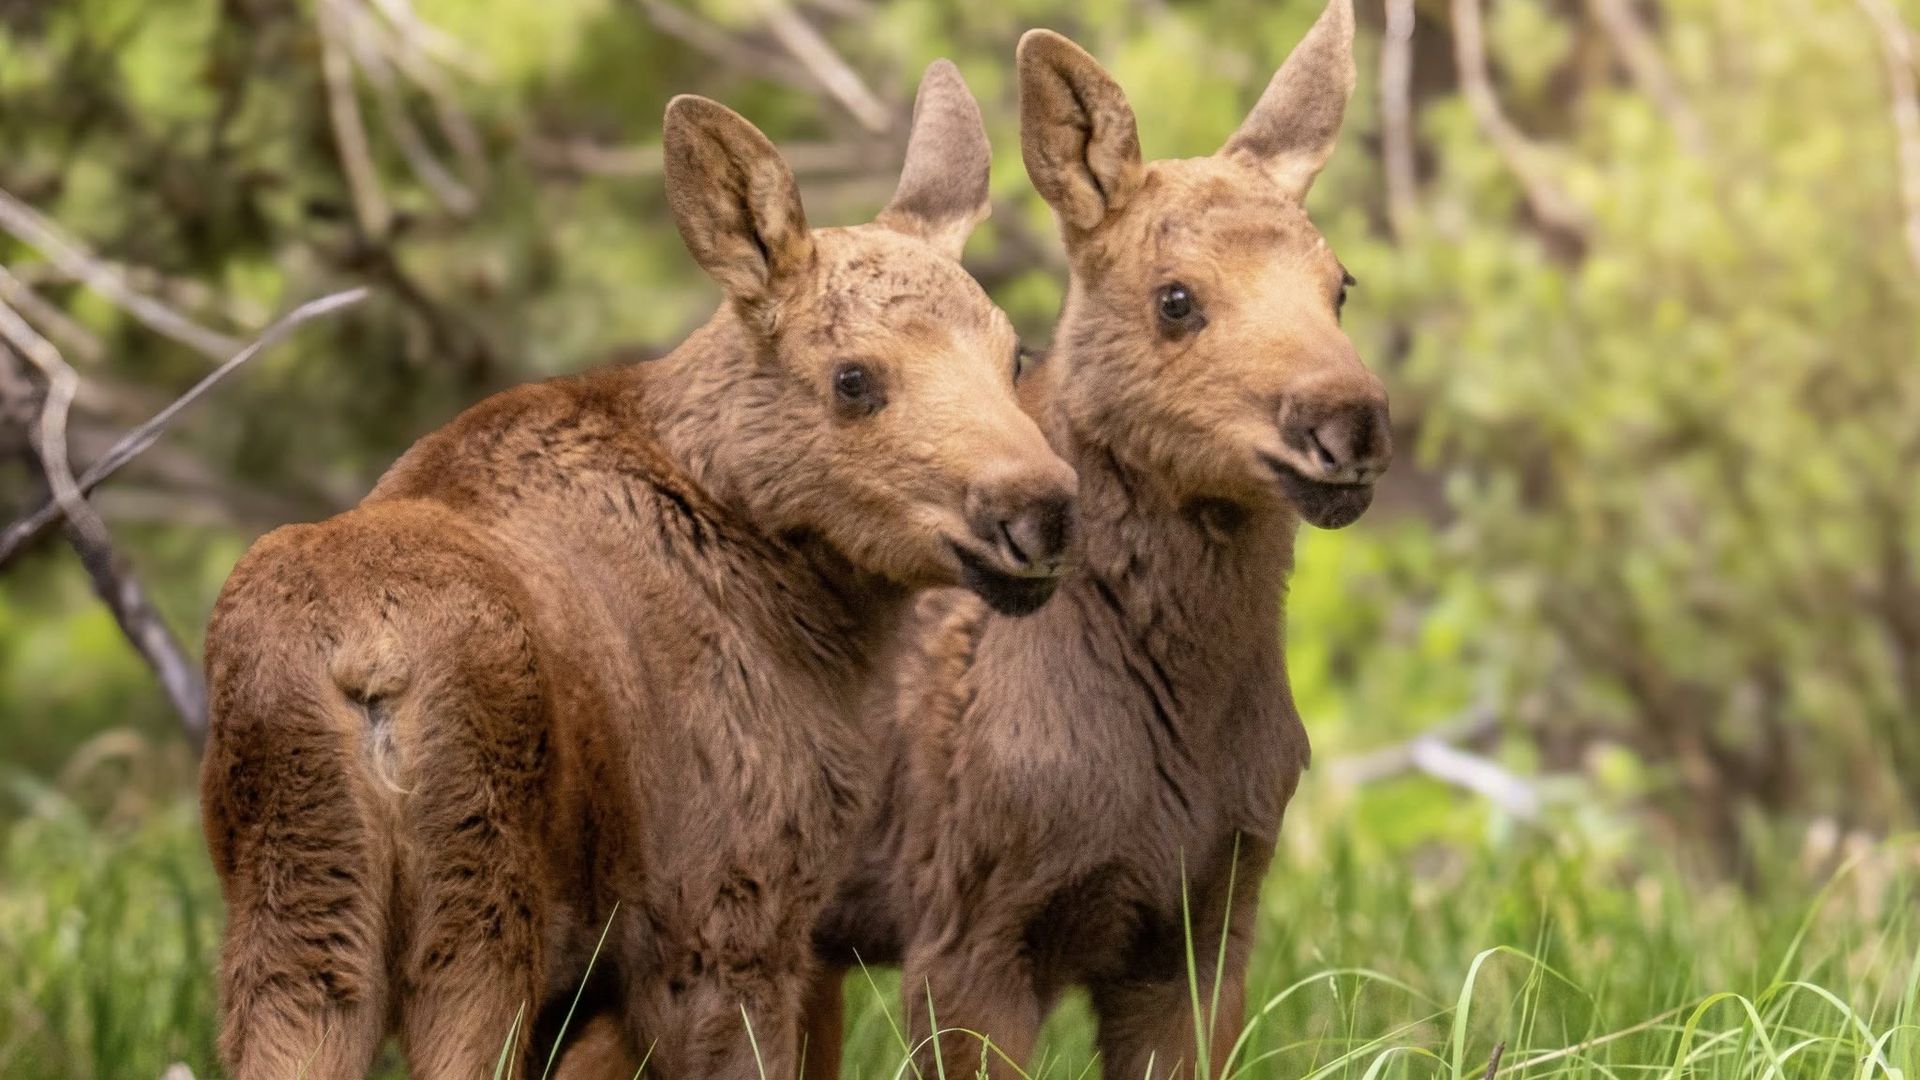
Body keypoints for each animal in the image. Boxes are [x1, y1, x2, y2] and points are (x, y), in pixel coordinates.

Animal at [198, 61, 1077, 1080]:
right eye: (853, 379)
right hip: (476, 909)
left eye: (1014, 353)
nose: (1040, 509)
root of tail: (366, 666)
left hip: (297, 921)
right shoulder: (730, 912)